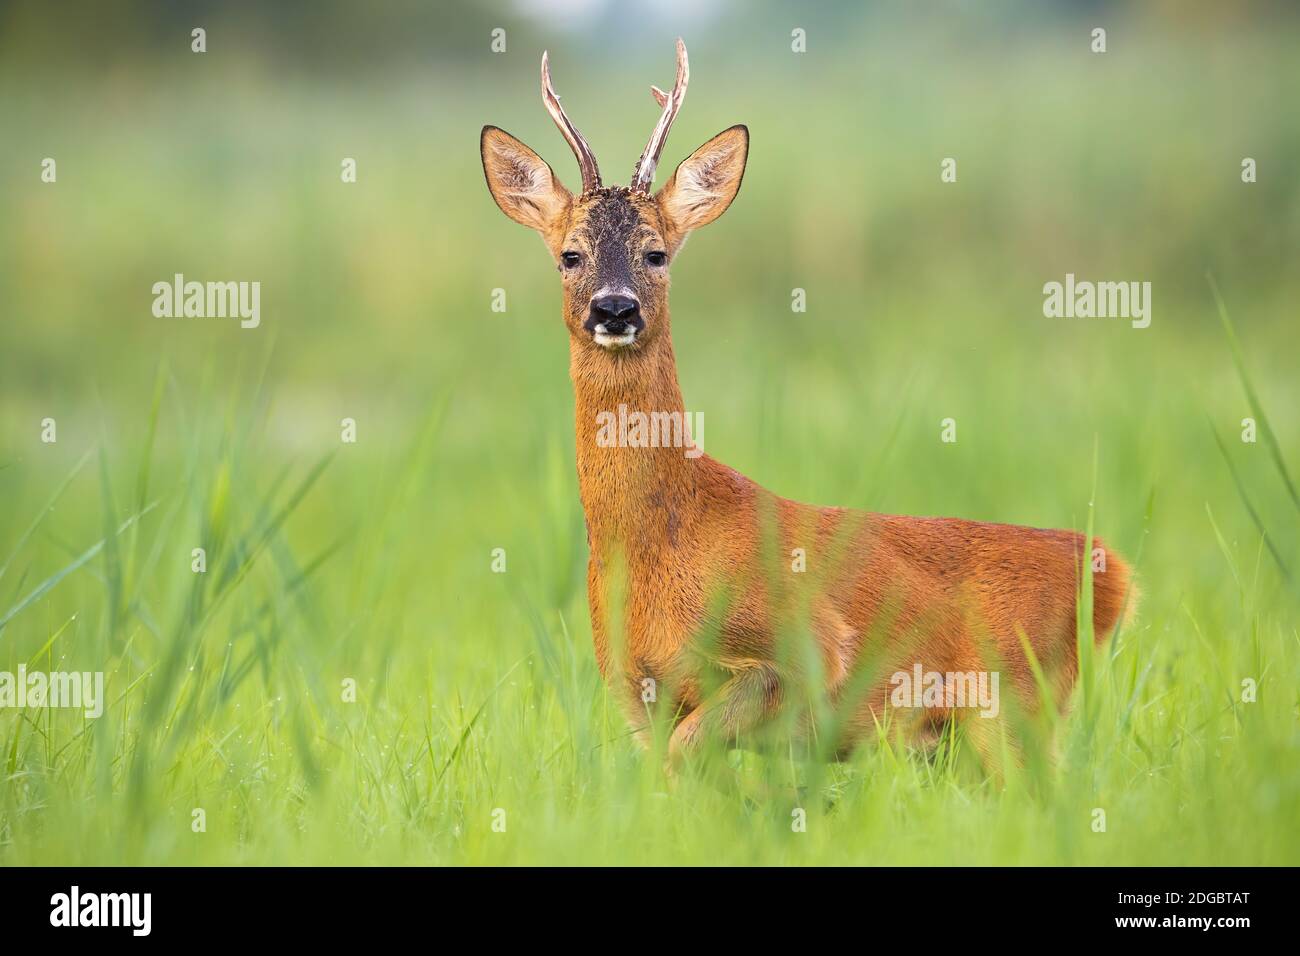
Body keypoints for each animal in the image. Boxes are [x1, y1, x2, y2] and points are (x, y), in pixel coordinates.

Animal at [479, 39, 1137, 771]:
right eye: (570, 255)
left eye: (657, 253)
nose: (615, 309)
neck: (658, 545)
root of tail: (1111, 573)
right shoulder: (634, 688)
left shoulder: (807, 650)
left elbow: (691, 748)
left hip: (1013, 710)